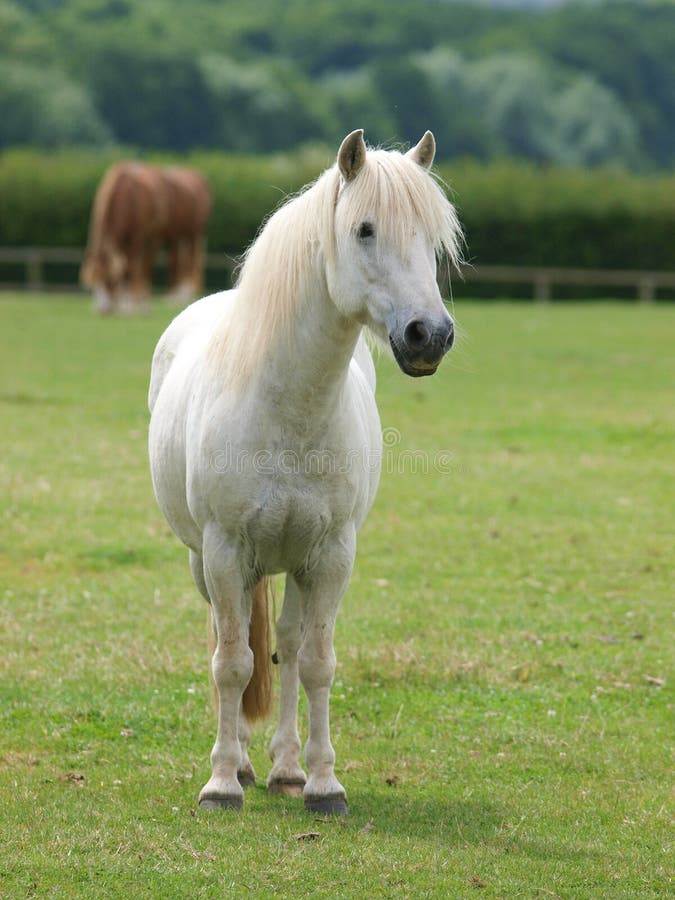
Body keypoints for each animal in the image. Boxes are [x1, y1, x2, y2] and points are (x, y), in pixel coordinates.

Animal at [81, 162, 211, 314]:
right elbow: (126, 268)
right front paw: (125, 304)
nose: (103, 310)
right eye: (94, 282)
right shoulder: (125, 241)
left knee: (176, 261)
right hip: (176, 235)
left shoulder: (137, 237)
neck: (125, 193)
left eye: (112, 281)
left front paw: (130, 305)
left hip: (187, 233)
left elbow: (131, 267)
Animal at [148, 129, 462, 815]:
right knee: (229, 640)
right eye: (365, 229)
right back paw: (240, 764)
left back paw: (285, 769)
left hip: (293, 562)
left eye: (432, 238)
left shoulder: (332, 554)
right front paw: (220, 783)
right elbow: (231, 664)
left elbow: (315, 662)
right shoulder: (225, 550)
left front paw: (322, 783)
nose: (429, 335)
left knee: (287, 649)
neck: (289, 408)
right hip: (208, 563)